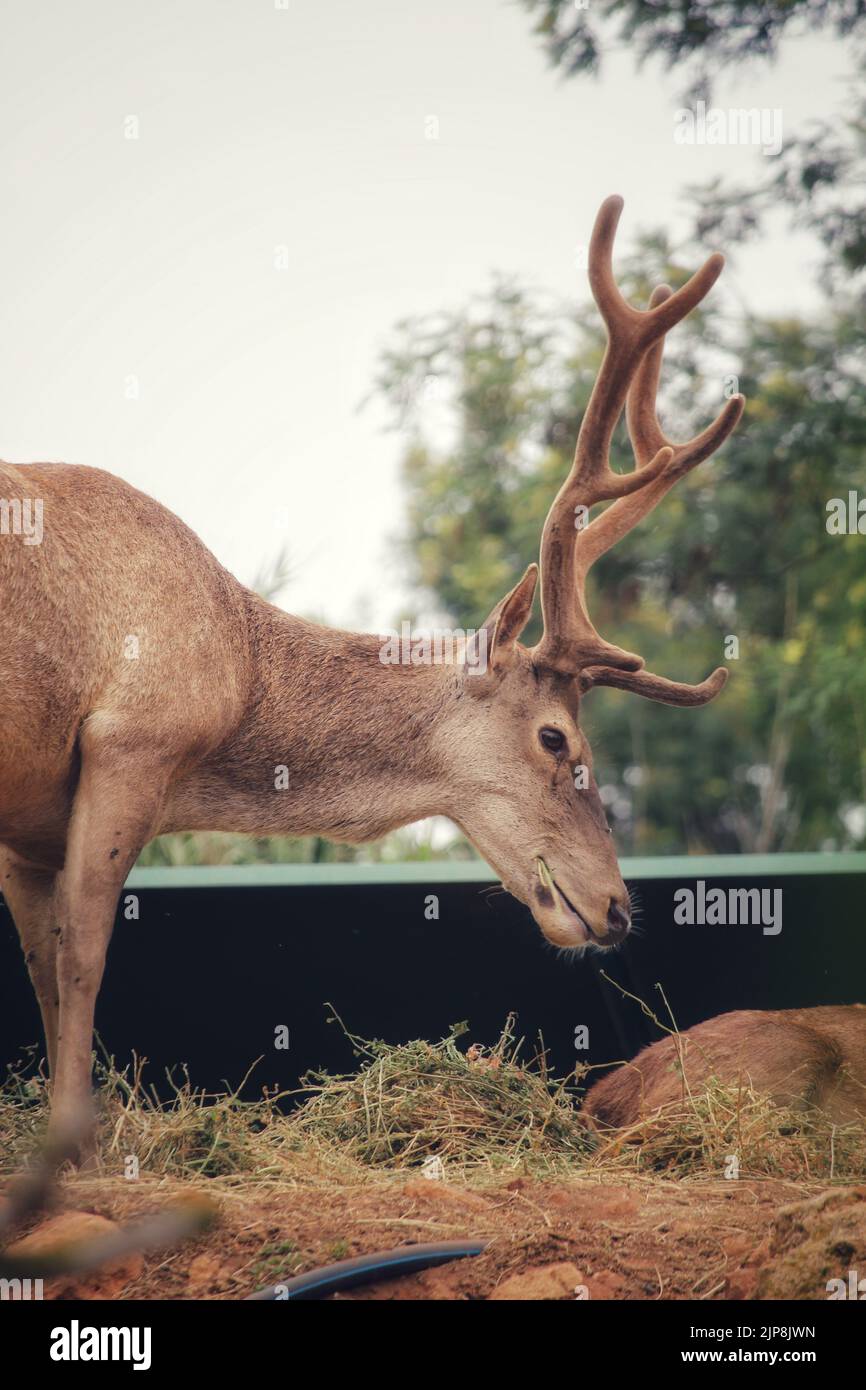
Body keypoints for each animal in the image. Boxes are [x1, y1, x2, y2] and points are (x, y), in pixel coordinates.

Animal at [0, 196, 744, 1161]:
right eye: (556, 736)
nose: (617, 909)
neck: (235, 681)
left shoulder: (32, 824)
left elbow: (41, 971)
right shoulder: (133, 737)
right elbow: (81, 955)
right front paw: (74, 1150)